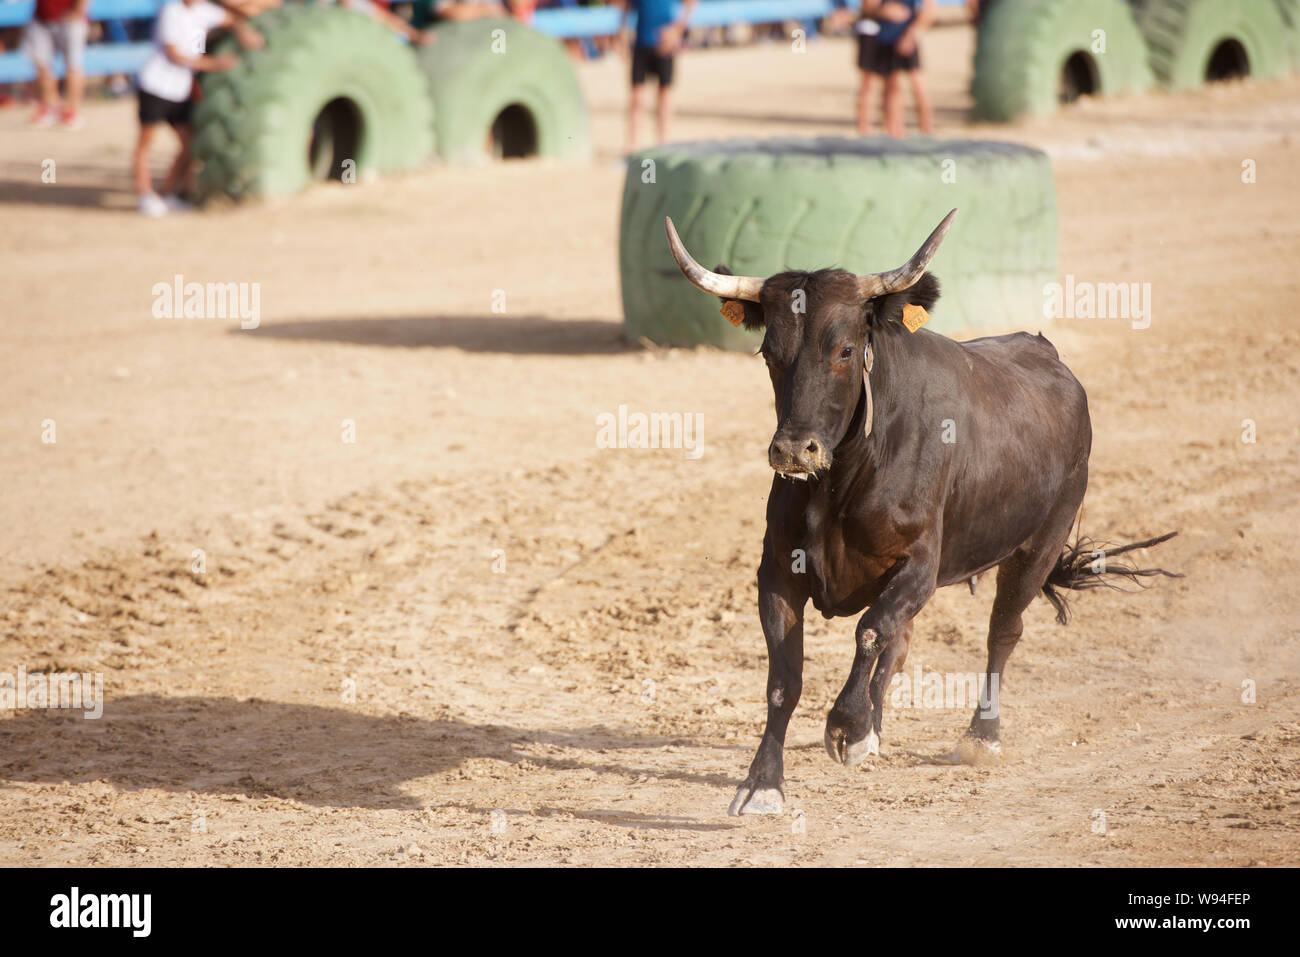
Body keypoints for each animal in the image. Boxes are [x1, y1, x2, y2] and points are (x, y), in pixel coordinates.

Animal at [663, 210, 1178, 815]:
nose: (794, 451)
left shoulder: (921, 566)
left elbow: (870, 631)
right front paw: (764, 781)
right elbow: (785, 678)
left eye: (844, 350)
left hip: (1037, 546)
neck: (843, 479)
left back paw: (981, 736)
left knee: (1001, 633)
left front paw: (846, 724)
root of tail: (1048, 356)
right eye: (770, 354)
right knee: (903, 641)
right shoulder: (777, 574)